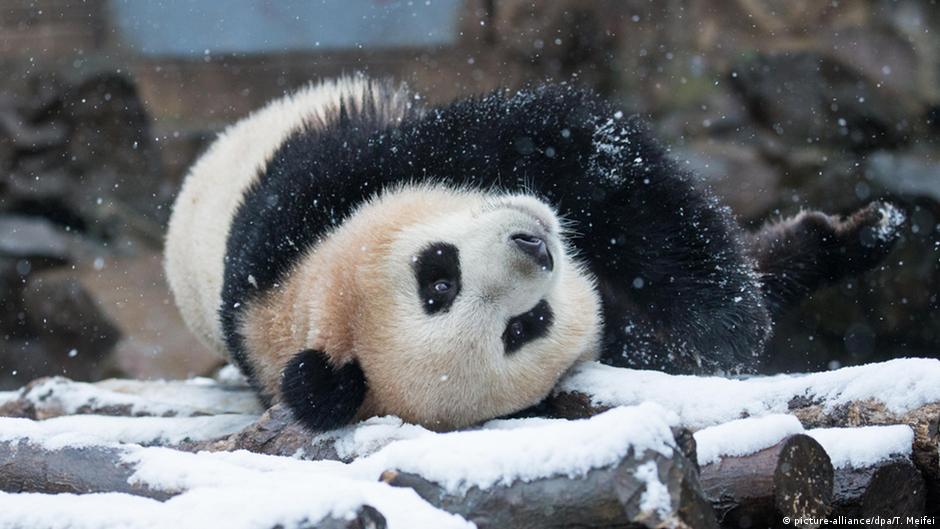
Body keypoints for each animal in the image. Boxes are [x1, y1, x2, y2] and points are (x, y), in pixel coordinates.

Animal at [165, 75, 903, 432]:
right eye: (523, 328)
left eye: (436, 276)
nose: (535, 245)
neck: (292, 301)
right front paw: (727, 324)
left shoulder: (313, 196)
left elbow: (564, 138)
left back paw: (859, 231)